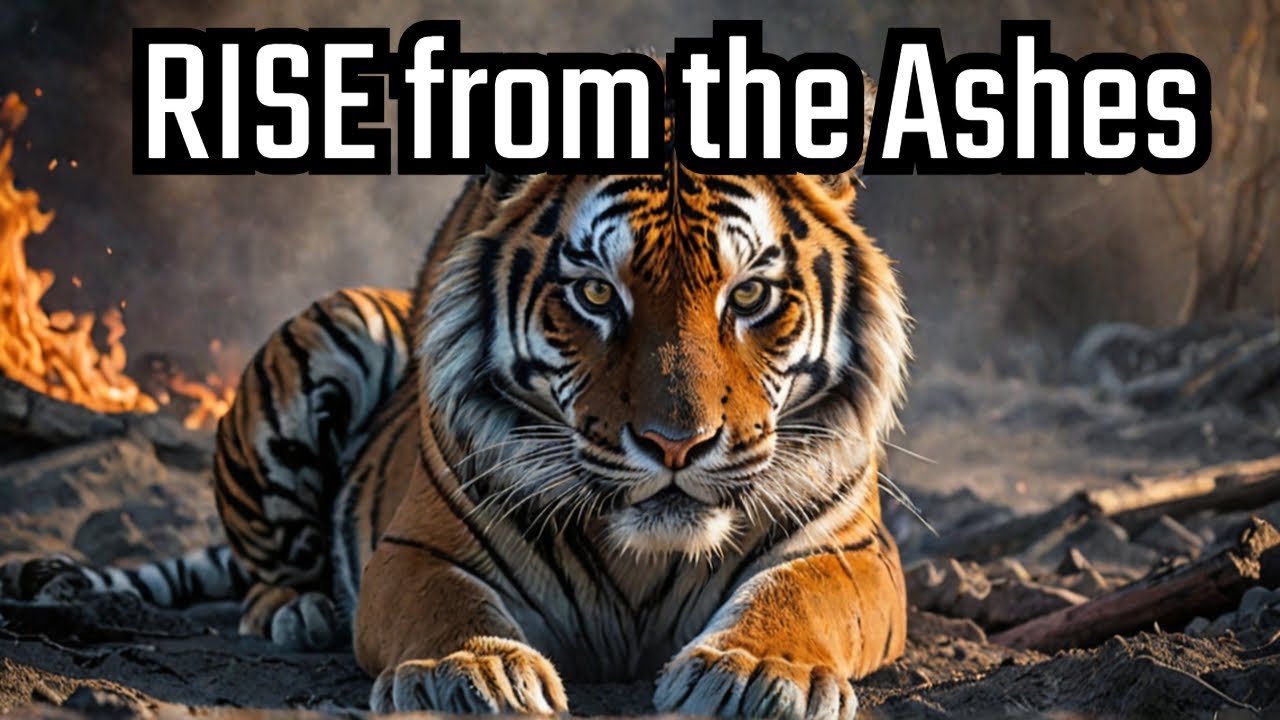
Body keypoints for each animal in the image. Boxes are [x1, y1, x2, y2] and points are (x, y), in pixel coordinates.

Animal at [1, 70, 911, 719]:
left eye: (749, 295)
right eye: (596, 294)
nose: (675, 445)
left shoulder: (847, 549)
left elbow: (798, 599)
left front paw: (758, 673)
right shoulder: (417, 548)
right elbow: (443, 606)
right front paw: (467, 672)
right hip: (340, 324)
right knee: (268, 563)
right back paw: (296, 610)